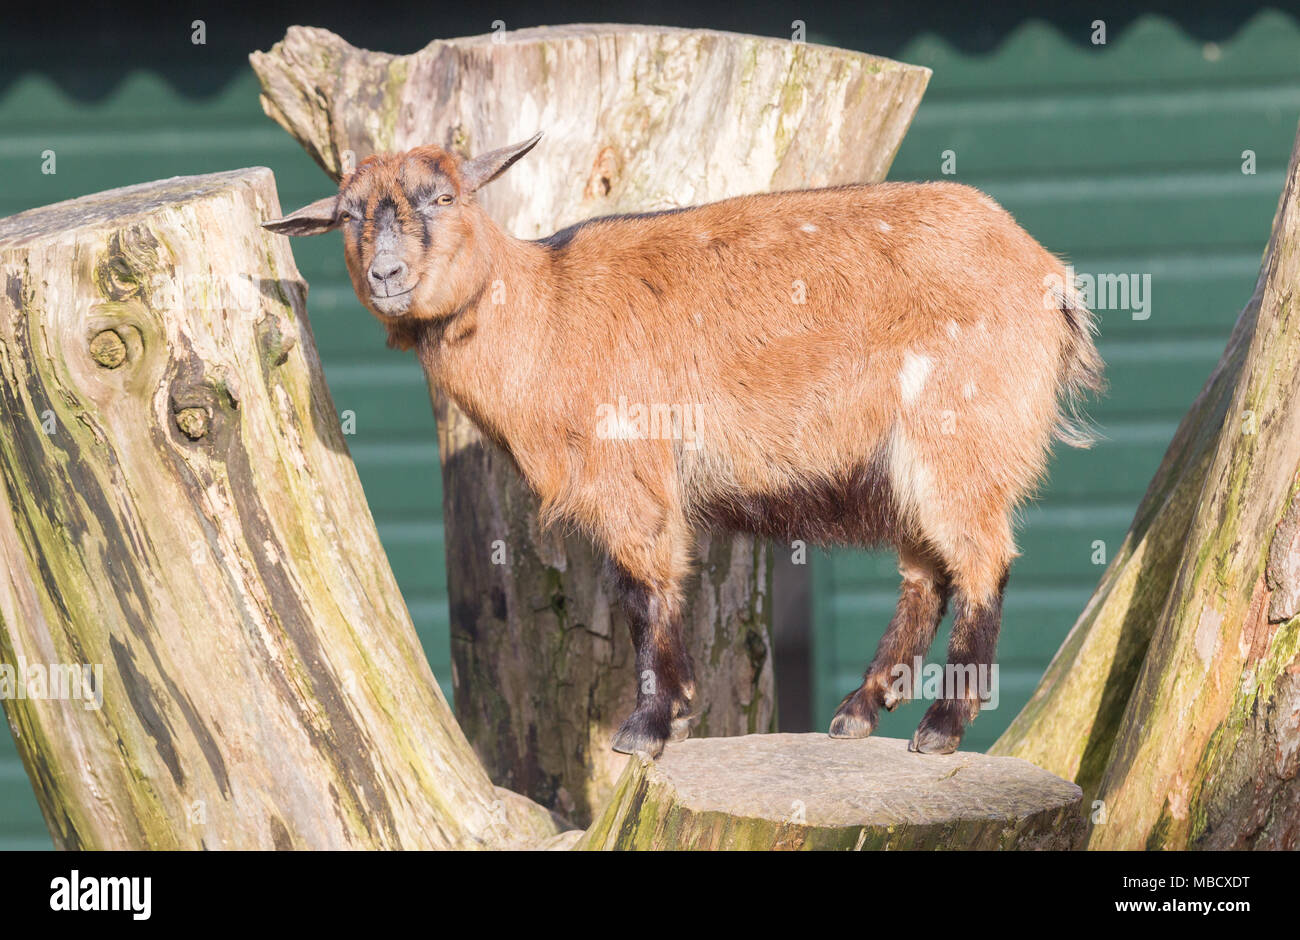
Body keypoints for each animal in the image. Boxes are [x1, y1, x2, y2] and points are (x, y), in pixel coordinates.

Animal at [265, 133, 1104, 758]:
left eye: (442, 197)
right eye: (348, 215)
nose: (387, 274)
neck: (544, 308)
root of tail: (1048, 277)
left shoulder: (632, 476)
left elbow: (645, 588)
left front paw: (648, 725)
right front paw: (675, 710)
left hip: (961, 432)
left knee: (982, 558)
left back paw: (941, 726)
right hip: (908, 462)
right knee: (928, 572)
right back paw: (859, 710)